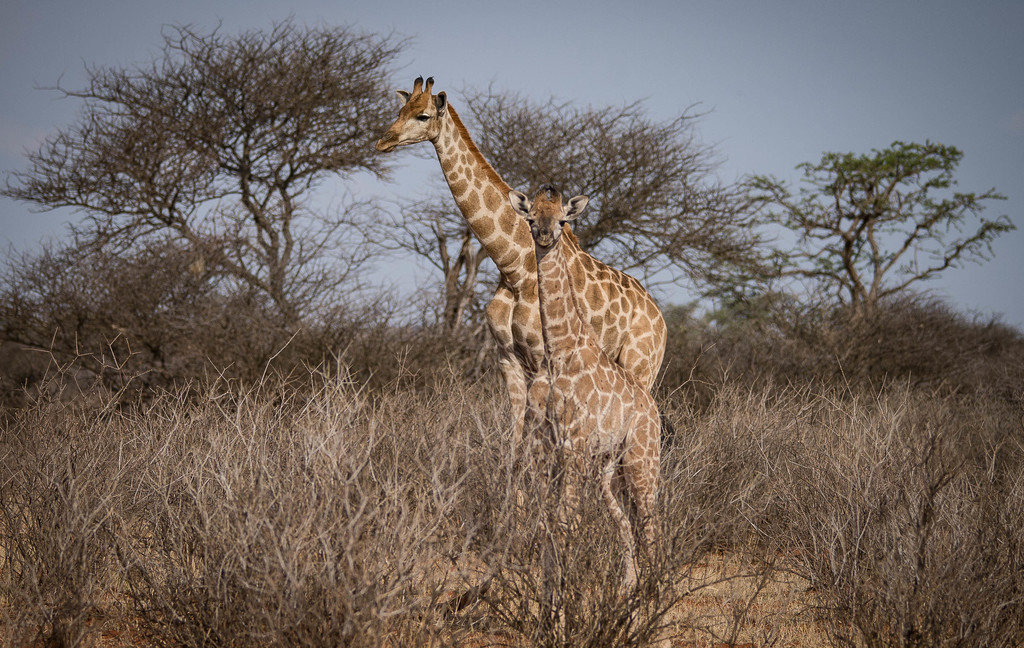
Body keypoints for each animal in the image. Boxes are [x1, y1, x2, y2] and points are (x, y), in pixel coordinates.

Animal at [375, 77, 667, 442]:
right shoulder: (508, 358)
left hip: (641, 365)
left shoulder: (542, 358)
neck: (512, 266)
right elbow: (515, 432)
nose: (383, 141)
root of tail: (660, 319)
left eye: (423, 115)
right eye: (400, 111)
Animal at [510, 185, 660, 591]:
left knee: (651, 521)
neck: (558, 349)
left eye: (563, 220)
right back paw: (627, 588)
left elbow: (565, 521)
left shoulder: (573, 443)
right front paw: (546, 589)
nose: (545, 235)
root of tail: (655, 412)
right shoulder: (541, 444)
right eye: (531, 218)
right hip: (610, 470)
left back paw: (658, 592)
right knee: (625, 523)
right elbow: (546, 519)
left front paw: (561, 591)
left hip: (642, 459)